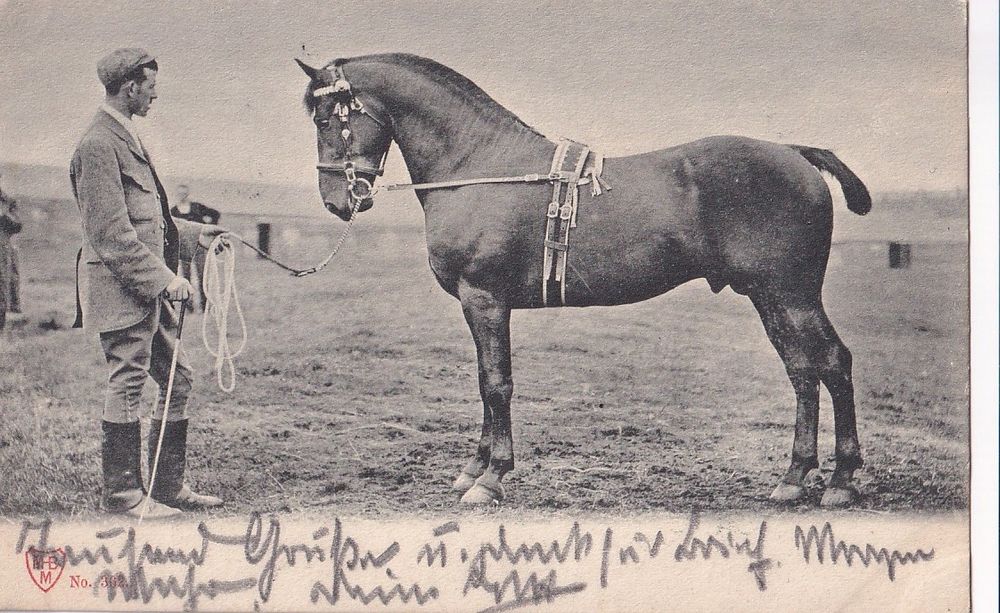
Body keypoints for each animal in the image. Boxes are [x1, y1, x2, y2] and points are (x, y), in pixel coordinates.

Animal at [295, 53, 871, 507]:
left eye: (328, 117)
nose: (337, 201)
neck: (478, 165)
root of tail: (795, 153)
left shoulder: (484, 300)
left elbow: (496, 384)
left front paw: (491, 478)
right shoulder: (478, 305)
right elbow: (484, 383)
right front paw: (472, 469)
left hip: (792, 295)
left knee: (834, 363)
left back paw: (841, 480)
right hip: (769, 297)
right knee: (802, 371)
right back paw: (794, 478)